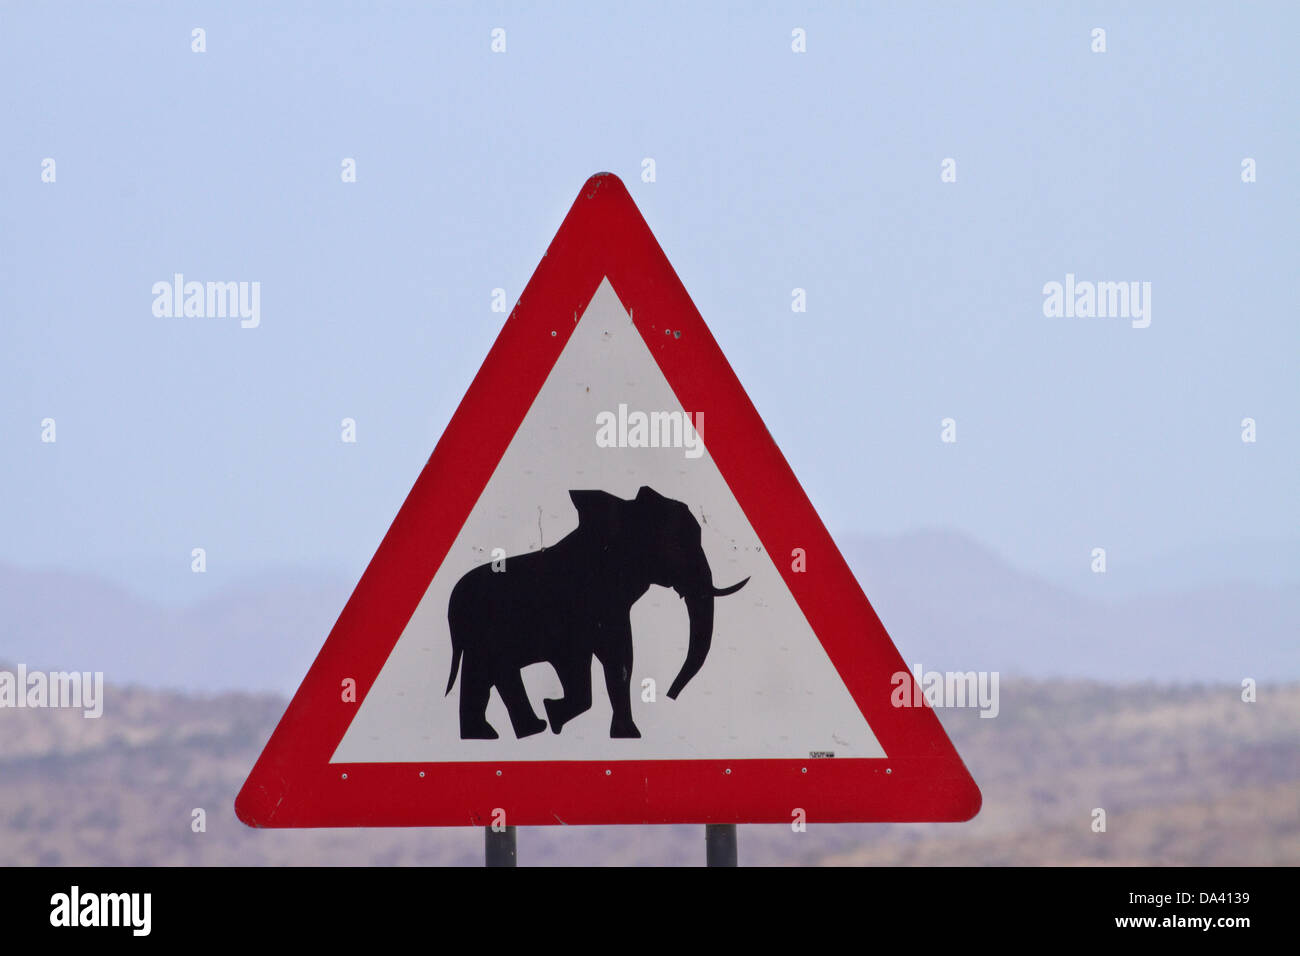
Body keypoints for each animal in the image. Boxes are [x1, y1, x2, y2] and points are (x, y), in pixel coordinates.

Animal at [445, 486, 749, 740]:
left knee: (482, 676)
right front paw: (554, 713)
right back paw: (529, 729)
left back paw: (489, 735)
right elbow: (585, 663)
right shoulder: (577, 610)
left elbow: (619, 660)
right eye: (678, 545)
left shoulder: (611, 609)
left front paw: (626, 736)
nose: (669, 695)